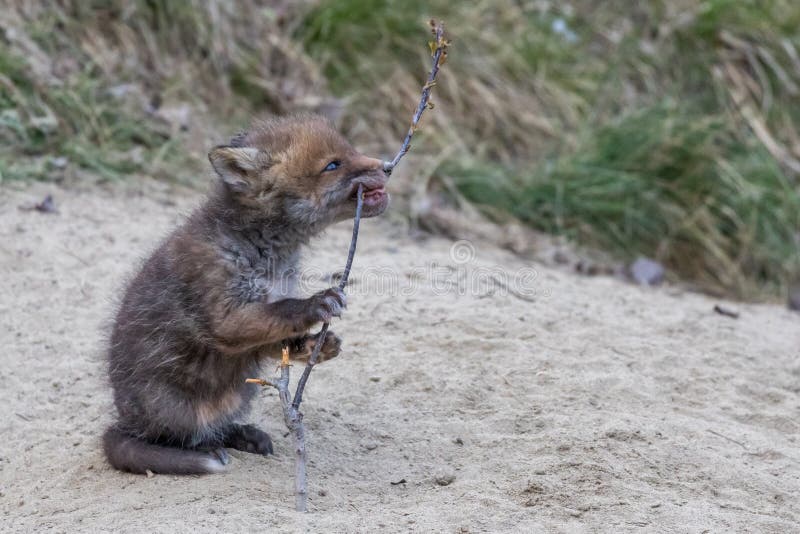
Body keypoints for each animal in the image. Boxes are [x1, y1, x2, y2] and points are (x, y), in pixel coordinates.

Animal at [103, 114, 389, 475]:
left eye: (351, 150)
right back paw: (206, 448)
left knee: (217, 426)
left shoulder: (257, 324)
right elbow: (285, 310)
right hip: (175, 409)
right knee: (181, 438)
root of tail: (125, 421)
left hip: (241, 392)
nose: (387, 166)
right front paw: (317, 302)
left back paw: (243, 436)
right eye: (333, 165)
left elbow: (278, 339)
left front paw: (315, 346)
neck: (269, 256)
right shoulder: (224, 314)